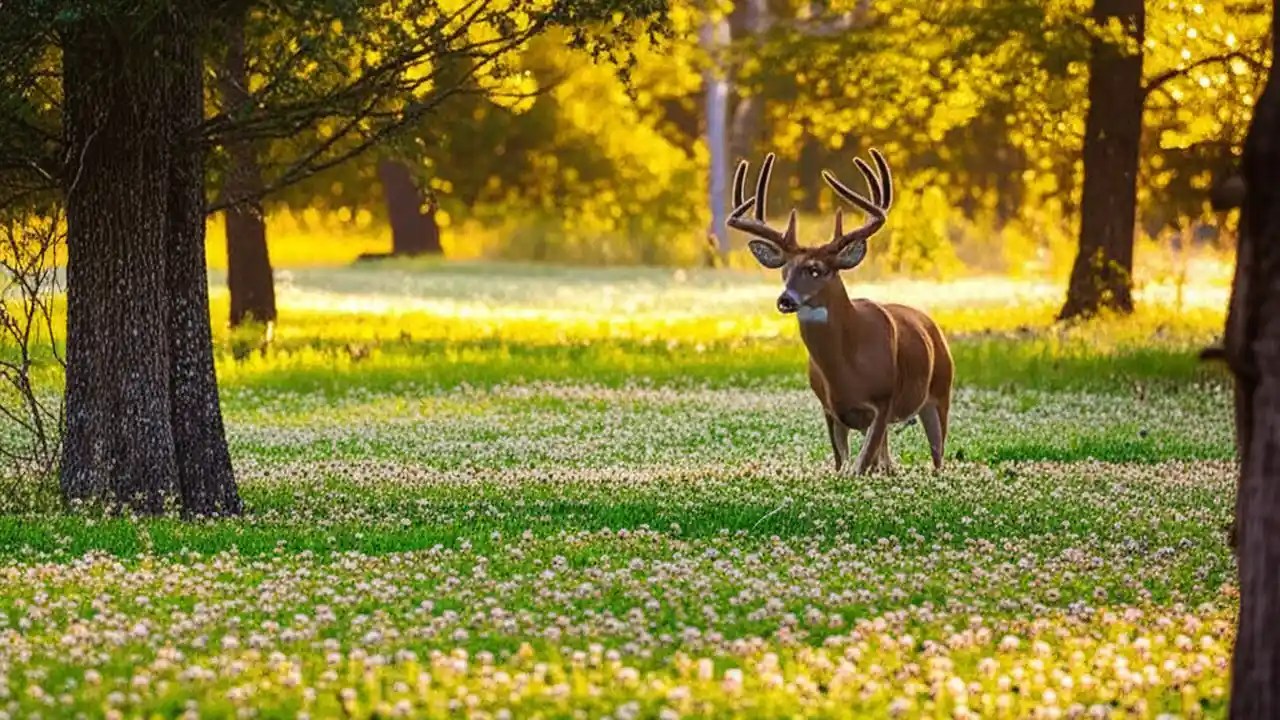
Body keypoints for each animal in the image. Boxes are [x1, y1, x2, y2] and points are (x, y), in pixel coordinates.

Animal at [725, 149, 954, 475]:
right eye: (784, 271)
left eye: (816, 269)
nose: (785, 300)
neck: (846, 369)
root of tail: (930, 324)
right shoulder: (829, 408)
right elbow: (843, 464)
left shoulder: (884, 400)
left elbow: (860, 465)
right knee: (887, 462)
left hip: (941, 392)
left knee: (937, 455)